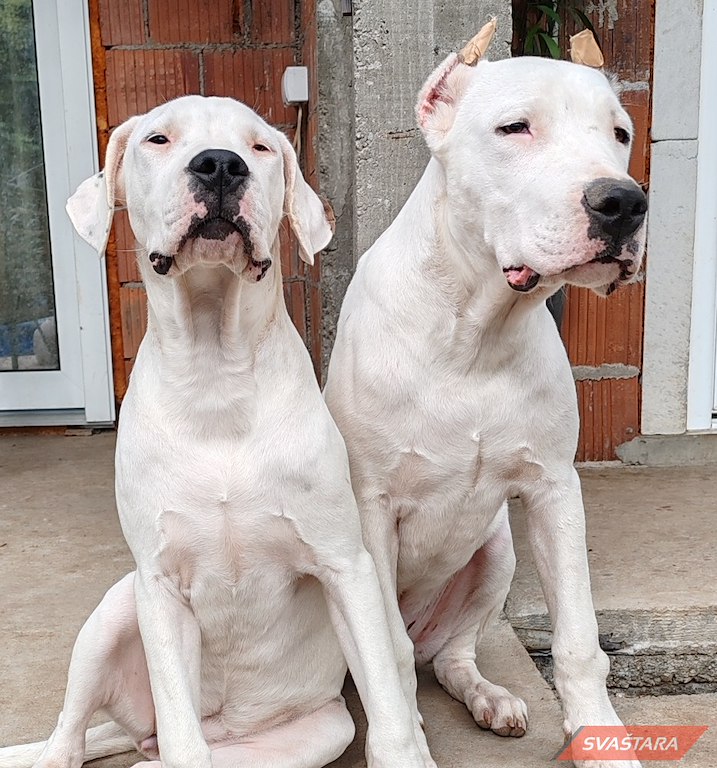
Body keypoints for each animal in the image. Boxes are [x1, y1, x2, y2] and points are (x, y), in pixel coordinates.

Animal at [0, 96, 436, 768]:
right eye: (157, 139)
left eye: (260, 146)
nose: (221, 166)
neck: (215, 374)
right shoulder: (158, 585)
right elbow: (183, 733)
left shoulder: (347, 566)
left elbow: (390, 710)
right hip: (112, 613)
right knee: (75, 734)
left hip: (319, 731)